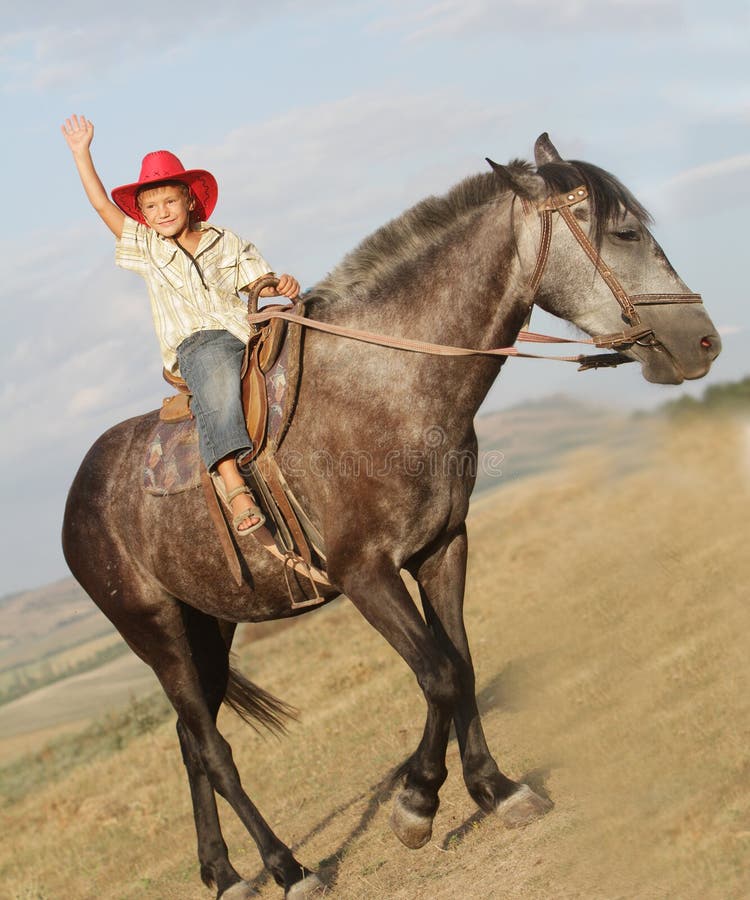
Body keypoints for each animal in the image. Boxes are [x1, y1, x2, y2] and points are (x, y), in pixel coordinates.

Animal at [62, 134, 720, 898]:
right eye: (625, 233)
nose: (704, 342)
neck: (384, 387)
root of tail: (78, 500)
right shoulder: (365, 575)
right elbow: (437, 675)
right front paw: (417, 804)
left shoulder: (443, 548)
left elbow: (461, 664)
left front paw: (496, 790)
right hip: (158, 632)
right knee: (212, 745)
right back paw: (287, 868)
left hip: (211, 628)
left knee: (188, 741)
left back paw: (222, 873)